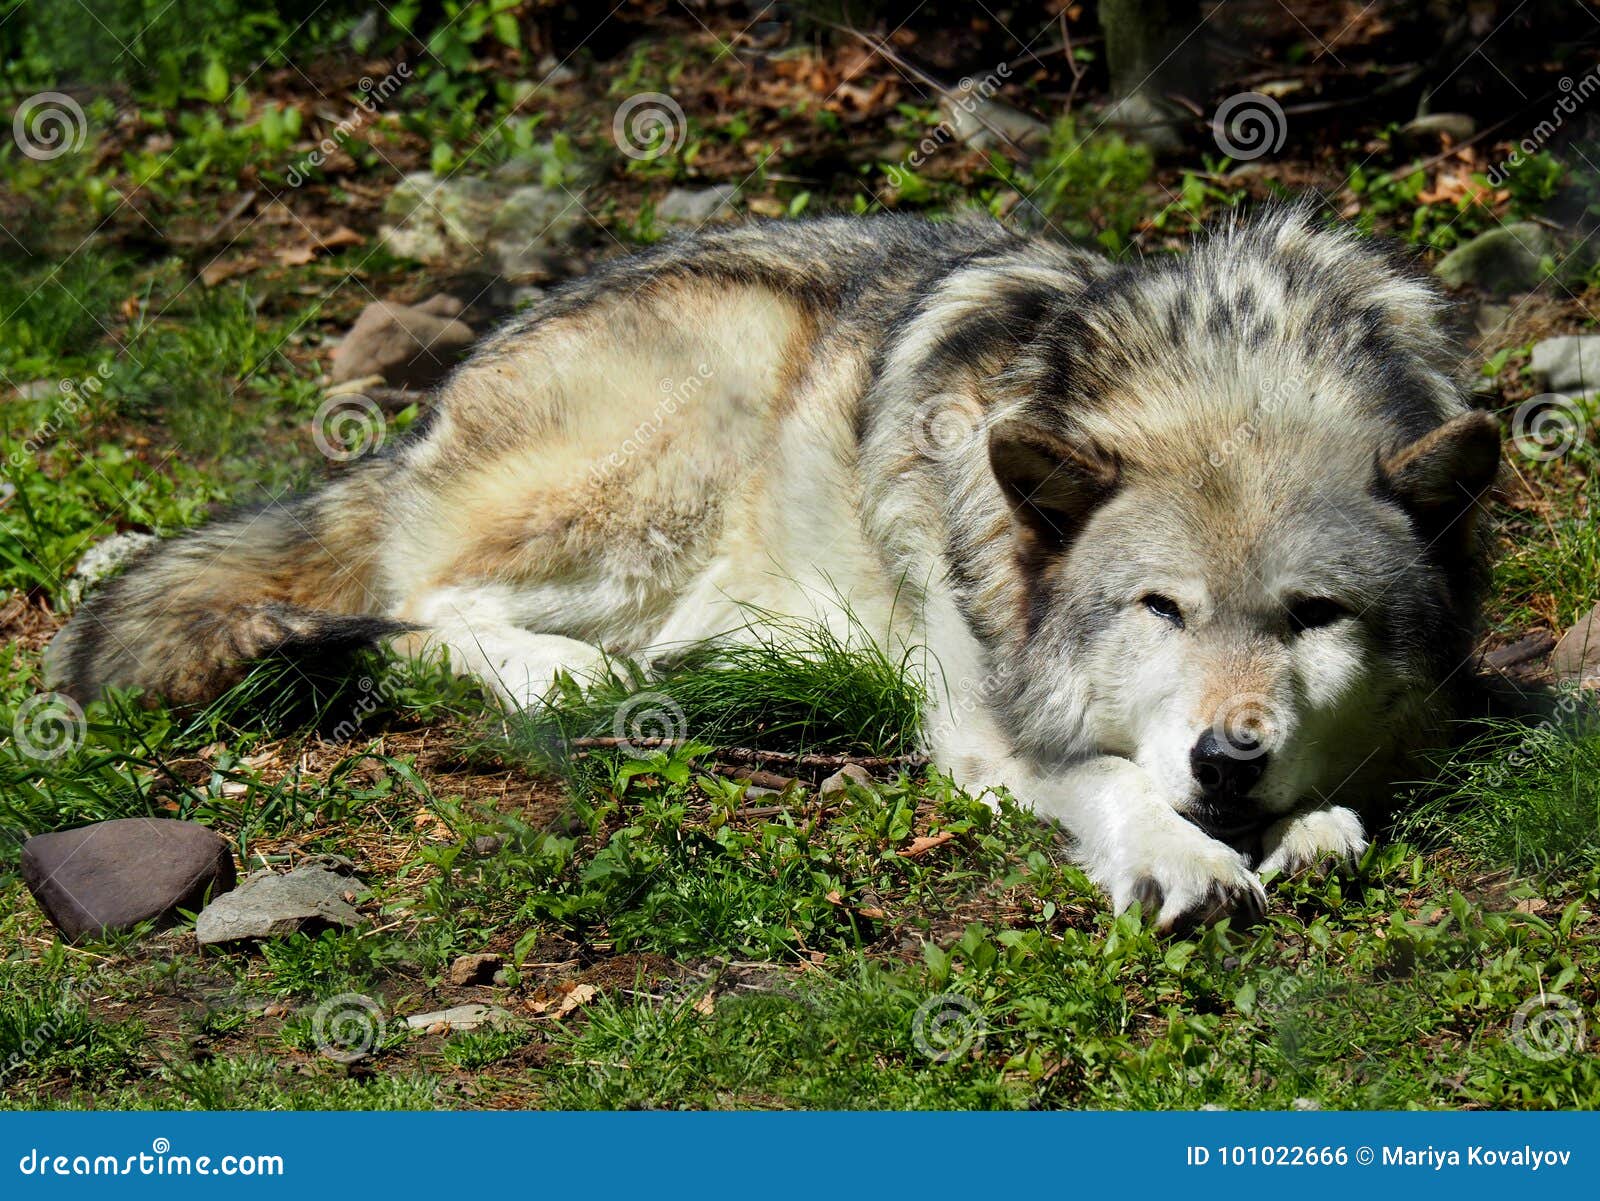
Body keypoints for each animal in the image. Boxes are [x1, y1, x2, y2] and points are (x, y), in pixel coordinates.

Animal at [46, 209, 1500, 932]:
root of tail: (429, 412)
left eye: (1314, 617)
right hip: (683, 425)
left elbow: (1349, 785)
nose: (1228, 760)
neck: (1233, 365)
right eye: (1159, 610)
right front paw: (1185, 855)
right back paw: (573, 678)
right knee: (419, 601)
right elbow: (1109, 779)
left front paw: (1306, 825)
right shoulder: (990, 723)